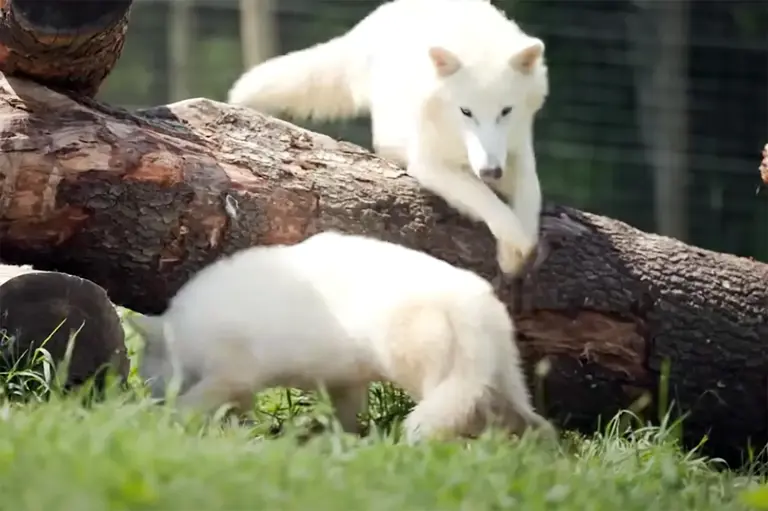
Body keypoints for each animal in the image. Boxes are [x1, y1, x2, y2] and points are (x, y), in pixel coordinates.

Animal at [126, 231, 554, 443]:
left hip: (430, 374)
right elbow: (342, 418)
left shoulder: (232, 372)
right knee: (536, 424)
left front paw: (164, 419)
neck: (187, 330)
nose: (150, 395)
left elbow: (197, 402)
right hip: (503, 381)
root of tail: (474, 308)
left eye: (147, 376)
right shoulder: (343, 380)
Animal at [227, 0, 549, 276]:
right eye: (466, 112)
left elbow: (530, 196)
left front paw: (516, 251)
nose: (491, 172)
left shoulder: (516, 151)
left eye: (506, 111)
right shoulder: (430, 165)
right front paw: (516, 245)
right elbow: (488, 202)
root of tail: (379, 17)